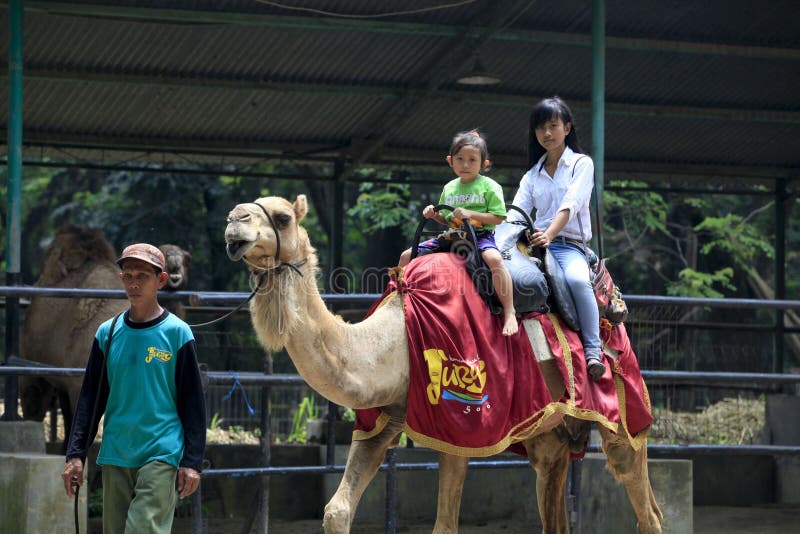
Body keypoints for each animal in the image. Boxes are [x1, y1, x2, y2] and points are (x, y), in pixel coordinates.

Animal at [224, 195, 663, 534]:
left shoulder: (465, 421)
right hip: (549, 431)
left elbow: (445, 525)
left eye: (282, 217)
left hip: (623, 412)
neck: (396, 339)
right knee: (554, 497)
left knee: (646, 506)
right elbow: (337, 510)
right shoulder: (385, 417)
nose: (234, 221)